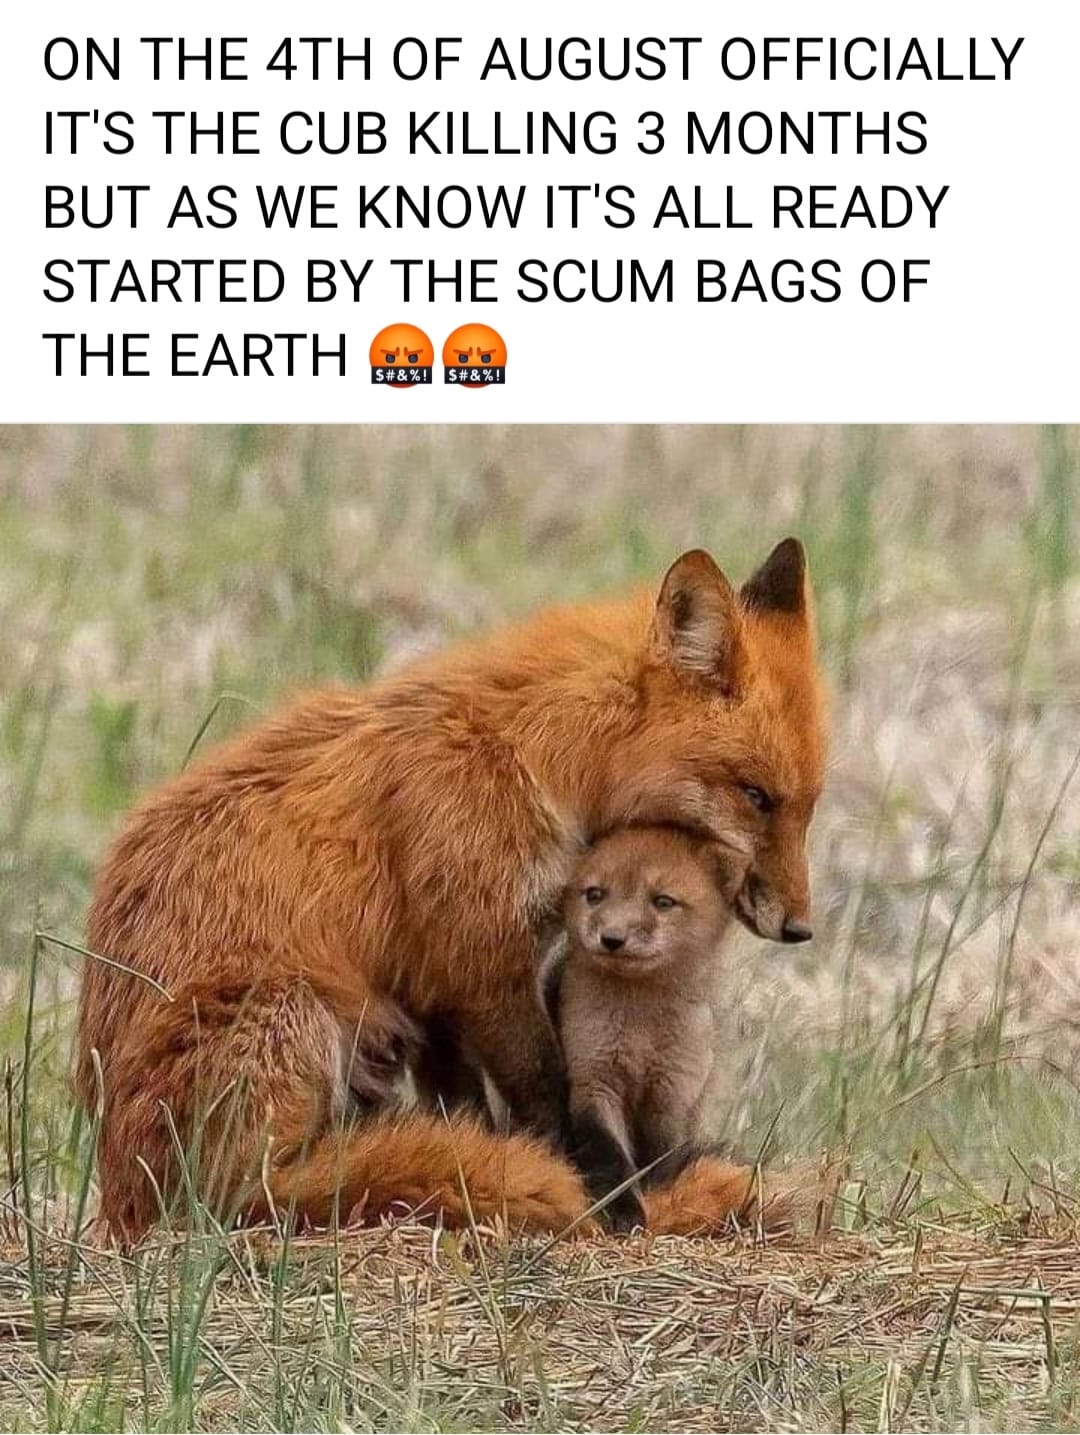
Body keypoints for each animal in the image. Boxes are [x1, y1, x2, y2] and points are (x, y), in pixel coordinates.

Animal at [556, 825, 731, 1231]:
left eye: (663, 902)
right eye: (595, 894)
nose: (612, 939)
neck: (639, 1033)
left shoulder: (672, 1094)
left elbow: (661, 1164)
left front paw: (660, 1201)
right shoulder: (594, 1083)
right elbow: (612, 1161)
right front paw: (623, 1211)